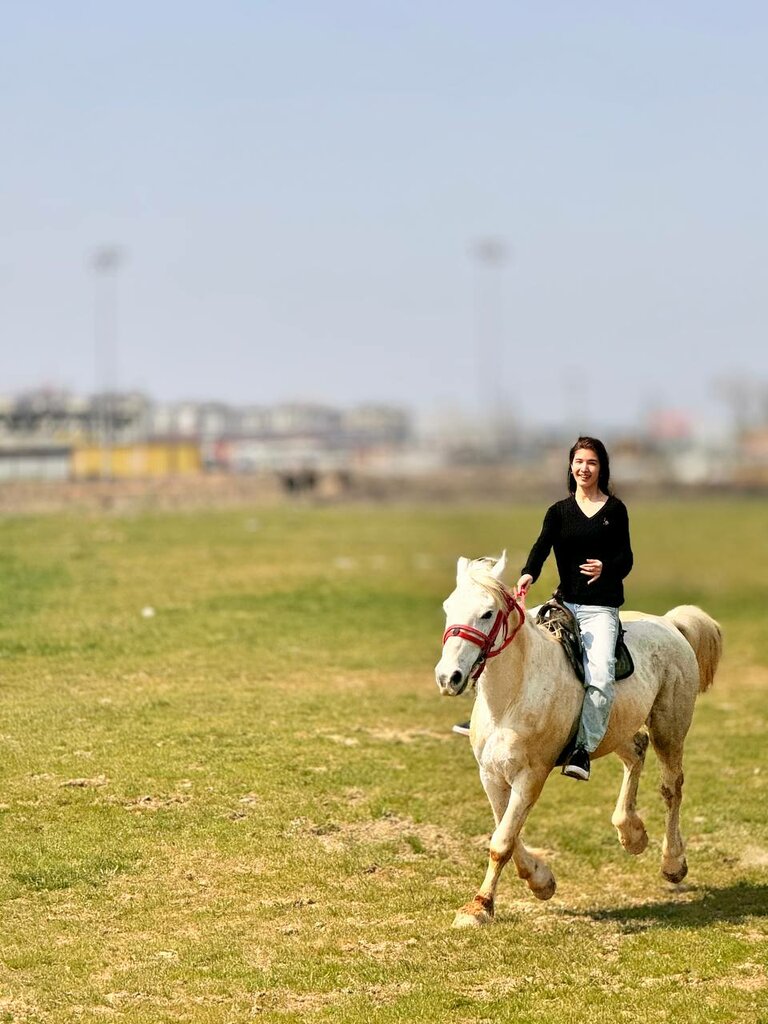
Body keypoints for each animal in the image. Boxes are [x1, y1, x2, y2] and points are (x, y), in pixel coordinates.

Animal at [434, 551, 722, 928]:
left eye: (487, 613)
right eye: (448, 607)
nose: (448, 677)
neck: (513, 695)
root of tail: (670, 624)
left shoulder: (531, 777)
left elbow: (503, 841)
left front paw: (480, 907)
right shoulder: (491, 774)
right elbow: (506, 832)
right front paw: (541, 882)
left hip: (669, 728)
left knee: (671, 787)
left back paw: (672, 863)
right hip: (614, 731)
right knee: (636, 753)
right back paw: (632, 834)